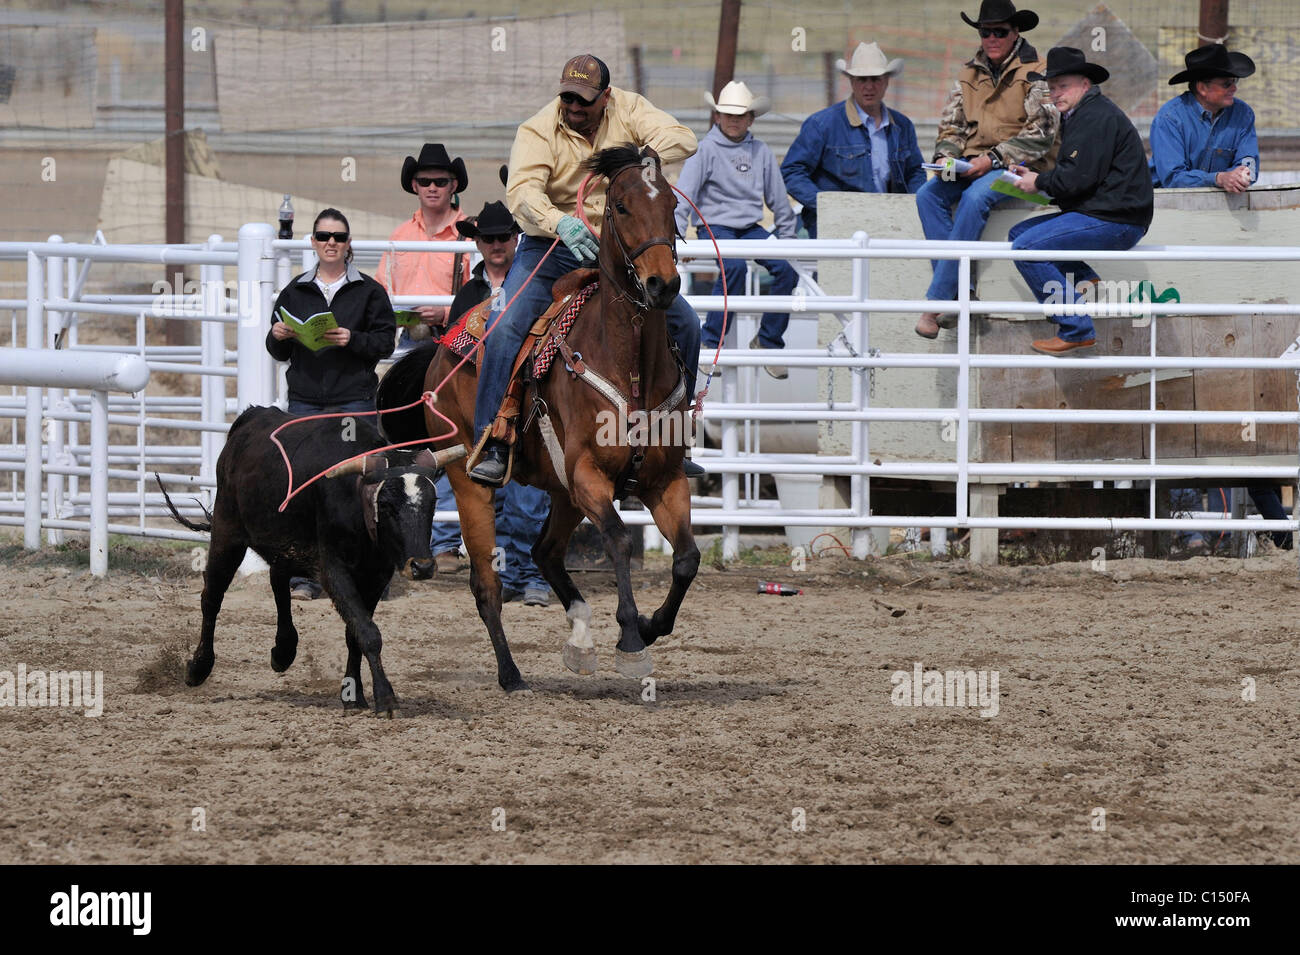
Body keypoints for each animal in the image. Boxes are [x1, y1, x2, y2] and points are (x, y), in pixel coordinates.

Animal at [157, 405, 464, 716]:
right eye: (386, 504)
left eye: (432, 503)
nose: (422, 566)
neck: (353, 497)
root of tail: (251, 417)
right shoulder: (333, 569)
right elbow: (368, 632)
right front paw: (386, 698)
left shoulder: (377, 575)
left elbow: (355, 631)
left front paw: (353, 694)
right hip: (227, 532)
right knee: (212, 597)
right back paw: (199, 668)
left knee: (278, 583)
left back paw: (283, 650)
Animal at [378, 143, 700, 692]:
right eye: (620, 207)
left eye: (672, 208)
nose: (662, 284)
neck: (628, 361)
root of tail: (443, 347)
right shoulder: (588, 474)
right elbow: (618, 538)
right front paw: (631, 640)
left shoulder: (664, 479)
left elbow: (686, 559)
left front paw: (649, 625)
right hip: (471, 481)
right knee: (486, 583)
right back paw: (511, 675)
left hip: (562, 492)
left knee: (545, 553)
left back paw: (580, 639)